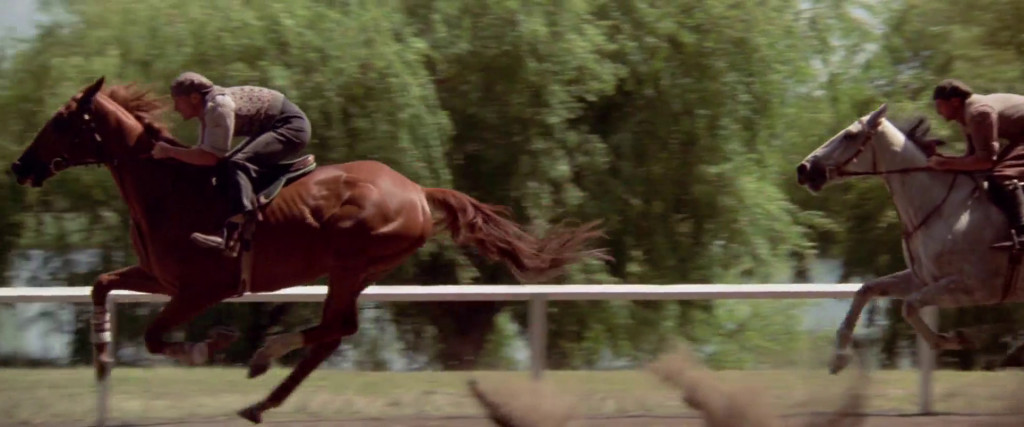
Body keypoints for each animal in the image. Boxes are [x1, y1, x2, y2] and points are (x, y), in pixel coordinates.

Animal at [8, 76, 610, 423]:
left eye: (61, 121)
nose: (19, 165)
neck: (168, 187)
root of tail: (419, 190)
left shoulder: (206, 287)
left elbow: (158, 337)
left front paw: (213, 345)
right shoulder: (161, 277)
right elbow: (101, 285)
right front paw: (101, 356)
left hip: (350, 261)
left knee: (335, 329)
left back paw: (262, 358)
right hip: (358, 270)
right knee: (334, 334)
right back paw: (259, 398)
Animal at [796, 103, 1024, 374]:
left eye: (849, 135)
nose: (804, 169)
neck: (945, 209)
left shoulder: (977, 286)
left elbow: (909, 306)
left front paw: (960, 338)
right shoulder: (922, 279)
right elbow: (867, 289)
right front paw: (838, 357)